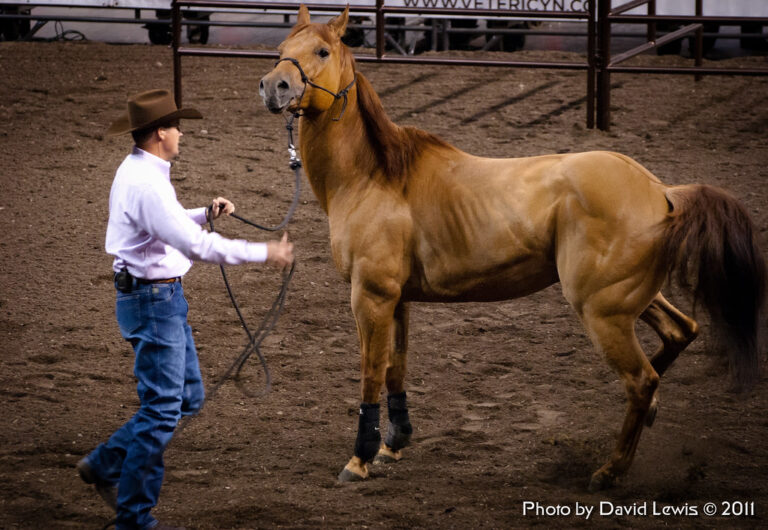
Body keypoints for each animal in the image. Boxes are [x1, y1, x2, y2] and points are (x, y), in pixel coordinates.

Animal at [259, 5, 766, 491]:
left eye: (322, 51)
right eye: (283, 47)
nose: (273, 86)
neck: (375, 176)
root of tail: (661, 190)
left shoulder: (370, 297)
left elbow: (369, 374)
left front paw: (359, 459)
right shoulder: (397, 300)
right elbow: (395, 369)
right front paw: (393, 444)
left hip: (603, 312)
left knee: (641, 380)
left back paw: (609, 471)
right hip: (631, 300)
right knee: (680, 333)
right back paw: (651, 415)